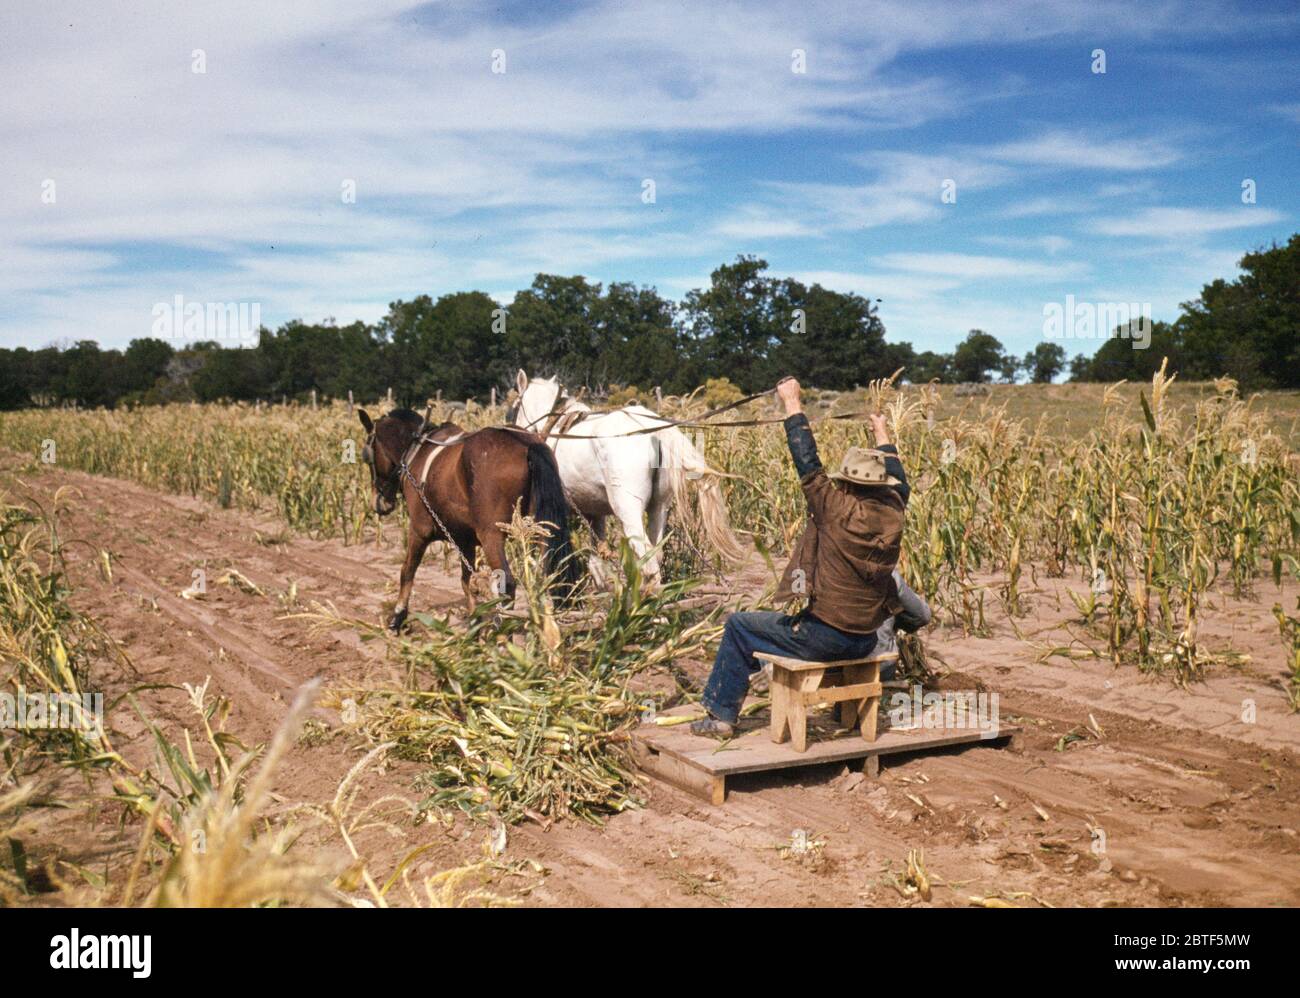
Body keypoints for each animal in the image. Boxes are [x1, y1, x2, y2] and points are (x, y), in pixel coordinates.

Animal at [357, 407, 577, 630]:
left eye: (367, 456)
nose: (378, 502)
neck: (417, 450)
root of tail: (528, 445)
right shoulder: (465, 540)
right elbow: (467, 580)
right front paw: (474, 620)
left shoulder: (419, 531)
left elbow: (408, 570)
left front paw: (398, 615)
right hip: (540, 531)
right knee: (548, 577)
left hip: (492, 537)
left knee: (507, 585)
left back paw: (502, 632)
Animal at [508, 370, 745, 583]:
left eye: (516, 406)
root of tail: (652, 427)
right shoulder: (594, 513)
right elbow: (597, 558)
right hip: (659, 507)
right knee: (656, 553)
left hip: (628, 509)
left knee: (647, 558)